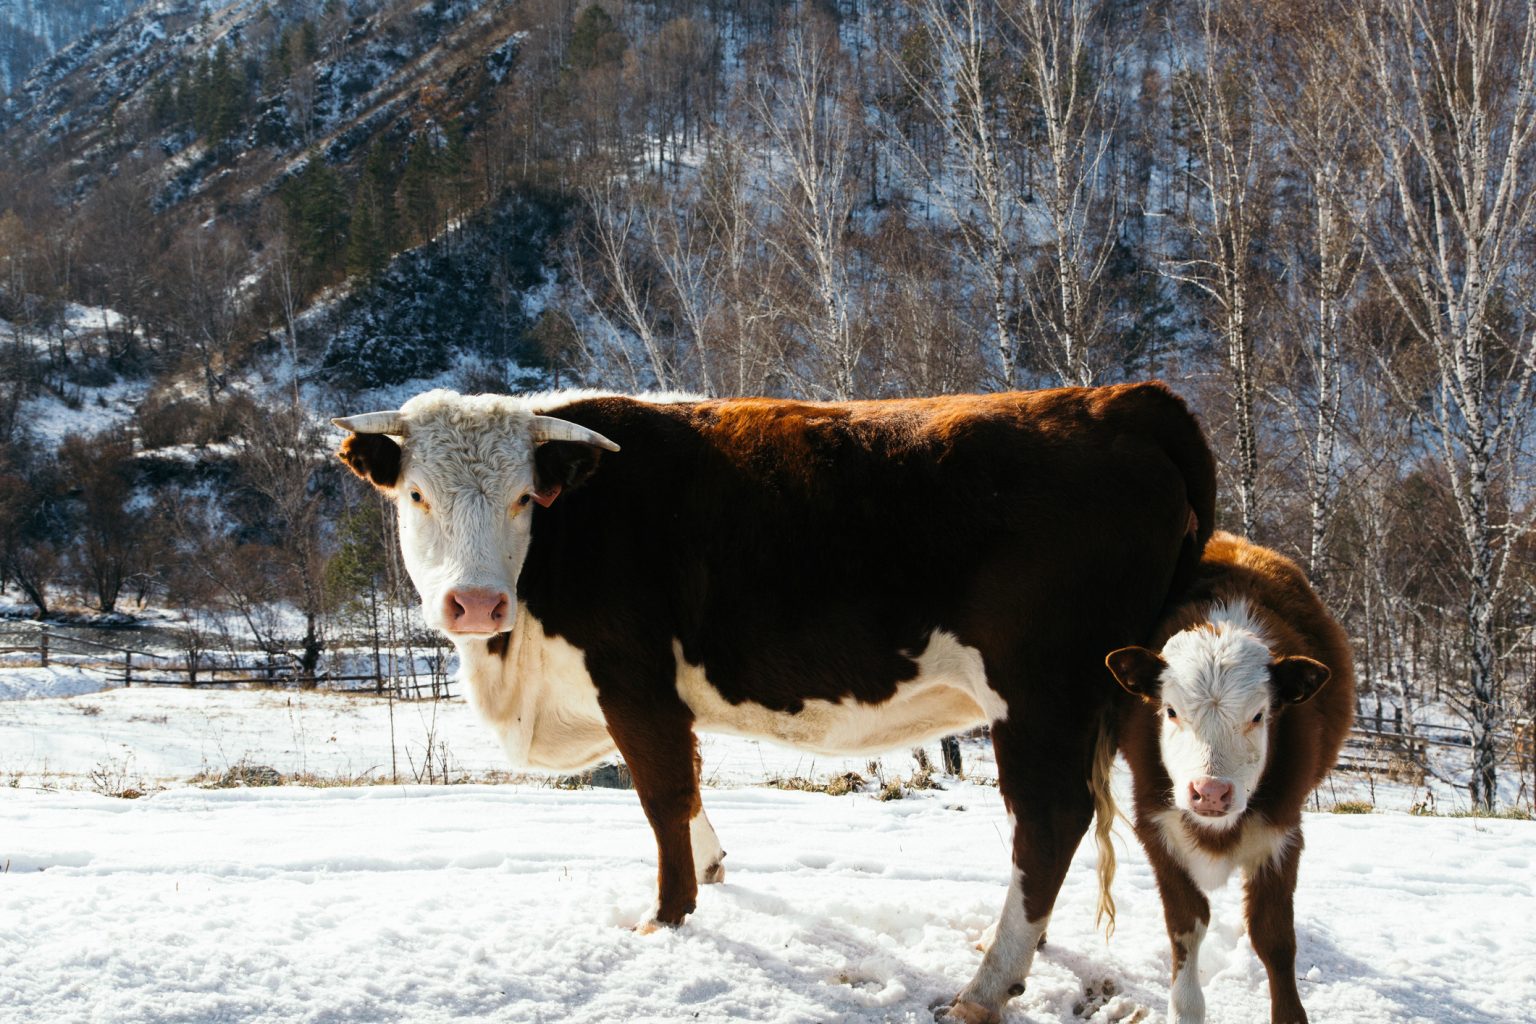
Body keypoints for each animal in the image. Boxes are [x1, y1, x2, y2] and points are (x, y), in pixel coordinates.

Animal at [332, 383, 1216, 1024]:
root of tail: (1118, 398)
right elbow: (689, 788)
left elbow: (663, 795)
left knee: (1048, 819)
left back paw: (987, 984)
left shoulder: (634, 681)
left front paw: (668, 919)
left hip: (1039, 693)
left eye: (525, 498)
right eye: (416, 495)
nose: (476, 603)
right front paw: (710, 867)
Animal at [1103, 532, 1355, 1024]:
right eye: (1171, 711)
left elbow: (1274, 936)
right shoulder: (1155, 825)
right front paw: (1185, 1008)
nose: (1211, 792)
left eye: (1258, 715)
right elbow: (1186, 922)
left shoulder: (1282, 833)